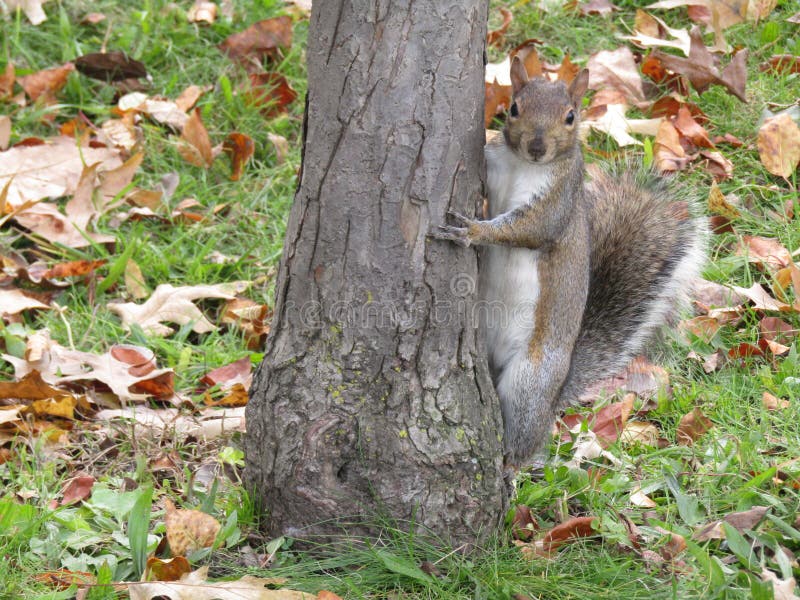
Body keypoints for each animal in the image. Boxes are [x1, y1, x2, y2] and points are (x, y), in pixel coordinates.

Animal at [434, 56, 706, 465]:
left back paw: (509, 463)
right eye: (514, 108)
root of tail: (556, 394)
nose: (536, 146)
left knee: (525, 439)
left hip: (530, 381)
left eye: (570, 116)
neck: (524, 166)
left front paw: (473, 231)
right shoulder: (495, 164)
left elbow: (528, 228)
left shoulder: (557, 199)